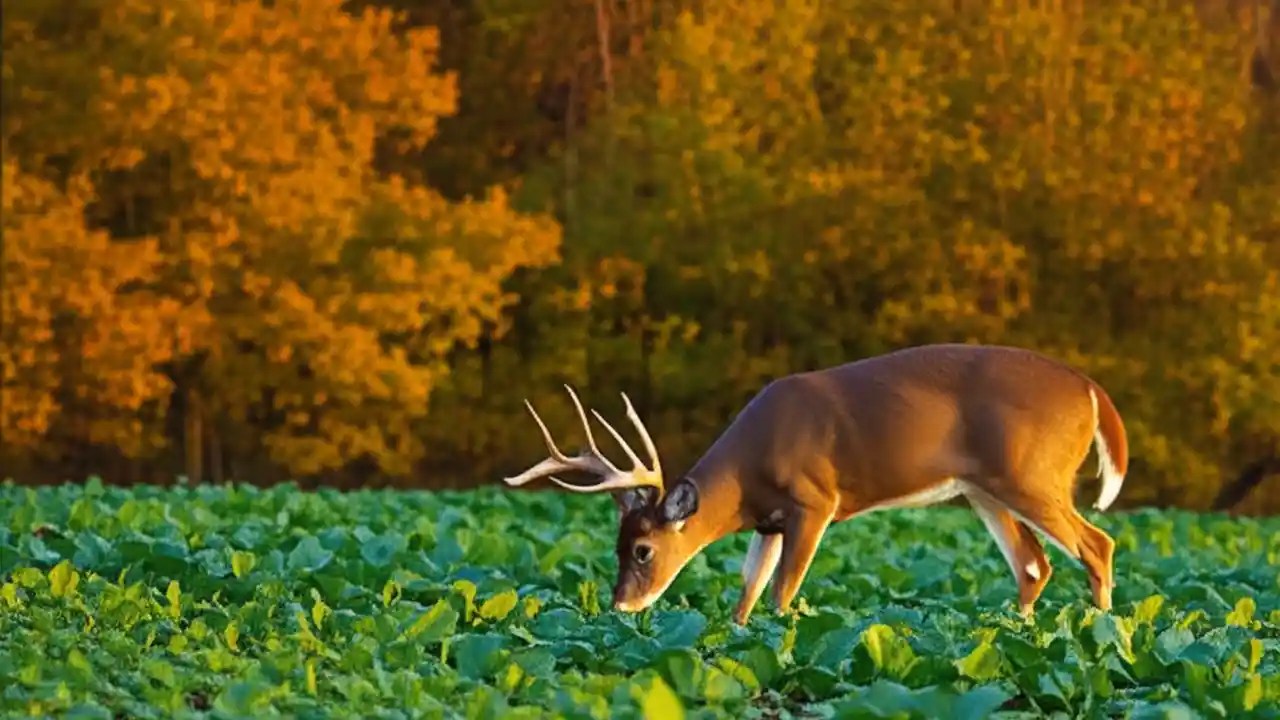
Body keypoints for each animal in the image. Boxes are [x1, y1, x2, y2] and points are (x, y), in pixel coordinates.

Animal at [502, 343, 1129, 625]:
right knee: (1034, 566)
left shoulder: (814, 500)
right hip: (984, 490)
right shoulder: (768, 521)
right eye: (615, 545)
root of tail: (1093, 390)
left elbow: (783, 592)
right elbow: (746, 594)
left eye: (642, 549)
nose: (621, 606)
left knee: (1097, 544)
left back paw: (1101, 635)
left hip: (1032, 476)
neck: (750, 469)